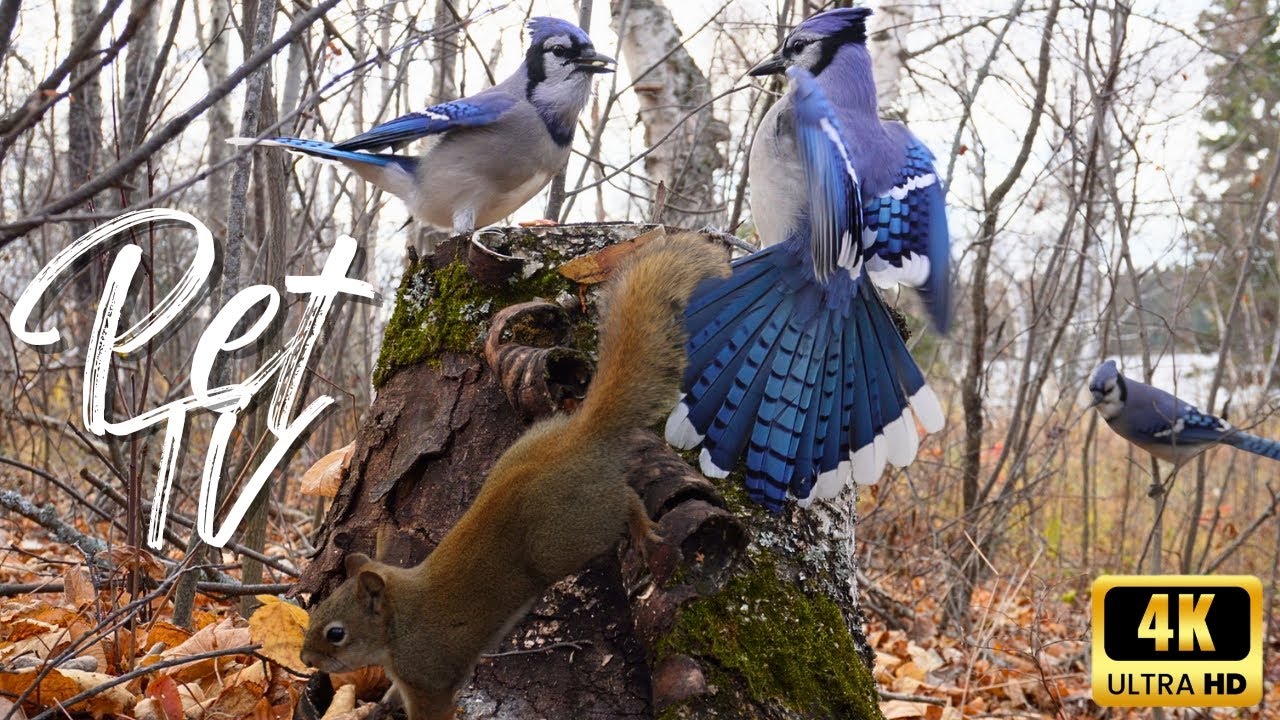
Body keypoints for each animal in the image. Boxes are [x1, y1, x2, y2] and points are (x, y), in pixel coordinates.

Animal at [300, 233, 729, 720]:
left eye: (336, 633)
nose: (306, 658)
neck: (399, 620)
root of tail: (579, 437)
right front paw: (378, 706)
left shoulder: (430, 678)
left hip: (568, 537)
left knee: (624, 503)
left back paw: (641, 527)